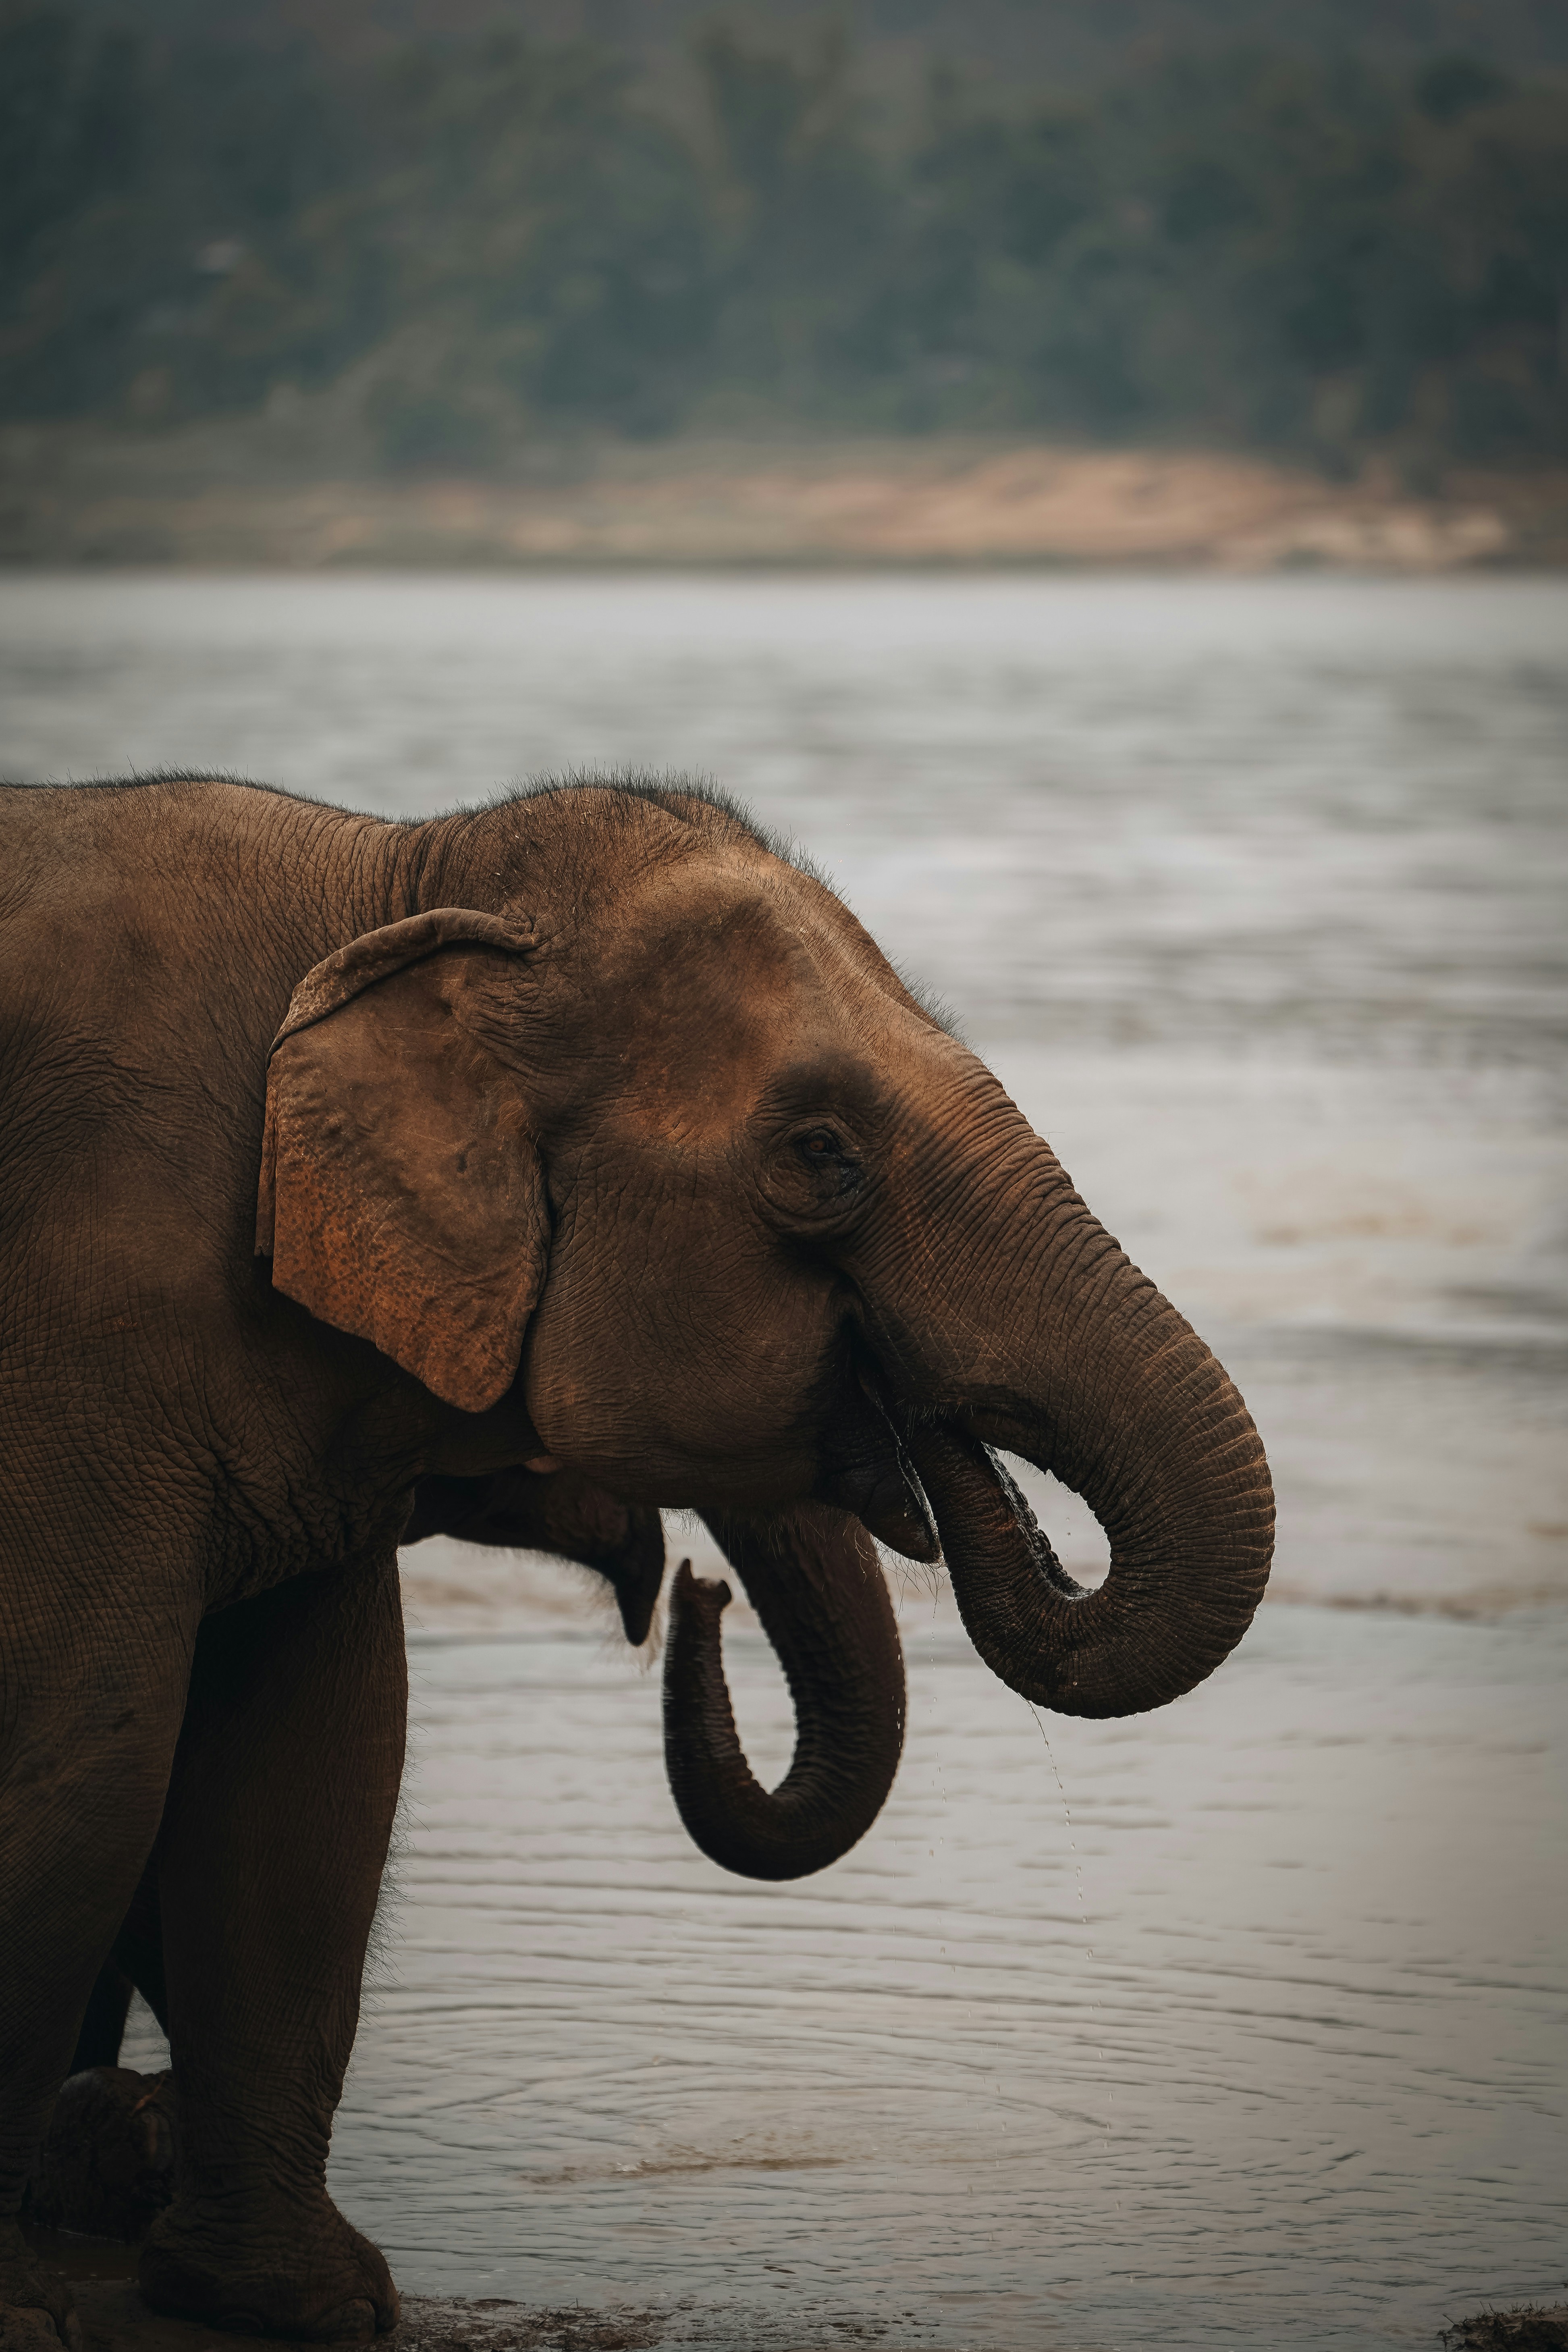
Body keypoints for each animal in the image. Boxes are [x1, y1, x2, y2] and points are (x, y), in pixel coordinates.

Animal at [0, 773, 1273, 2347]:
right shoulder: (75, 1336)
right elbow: (88, 1774)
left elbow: (310, 1767)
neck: (394, 875)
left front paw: (291, 2300)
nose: (697, 1587)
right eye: (823, 1156)